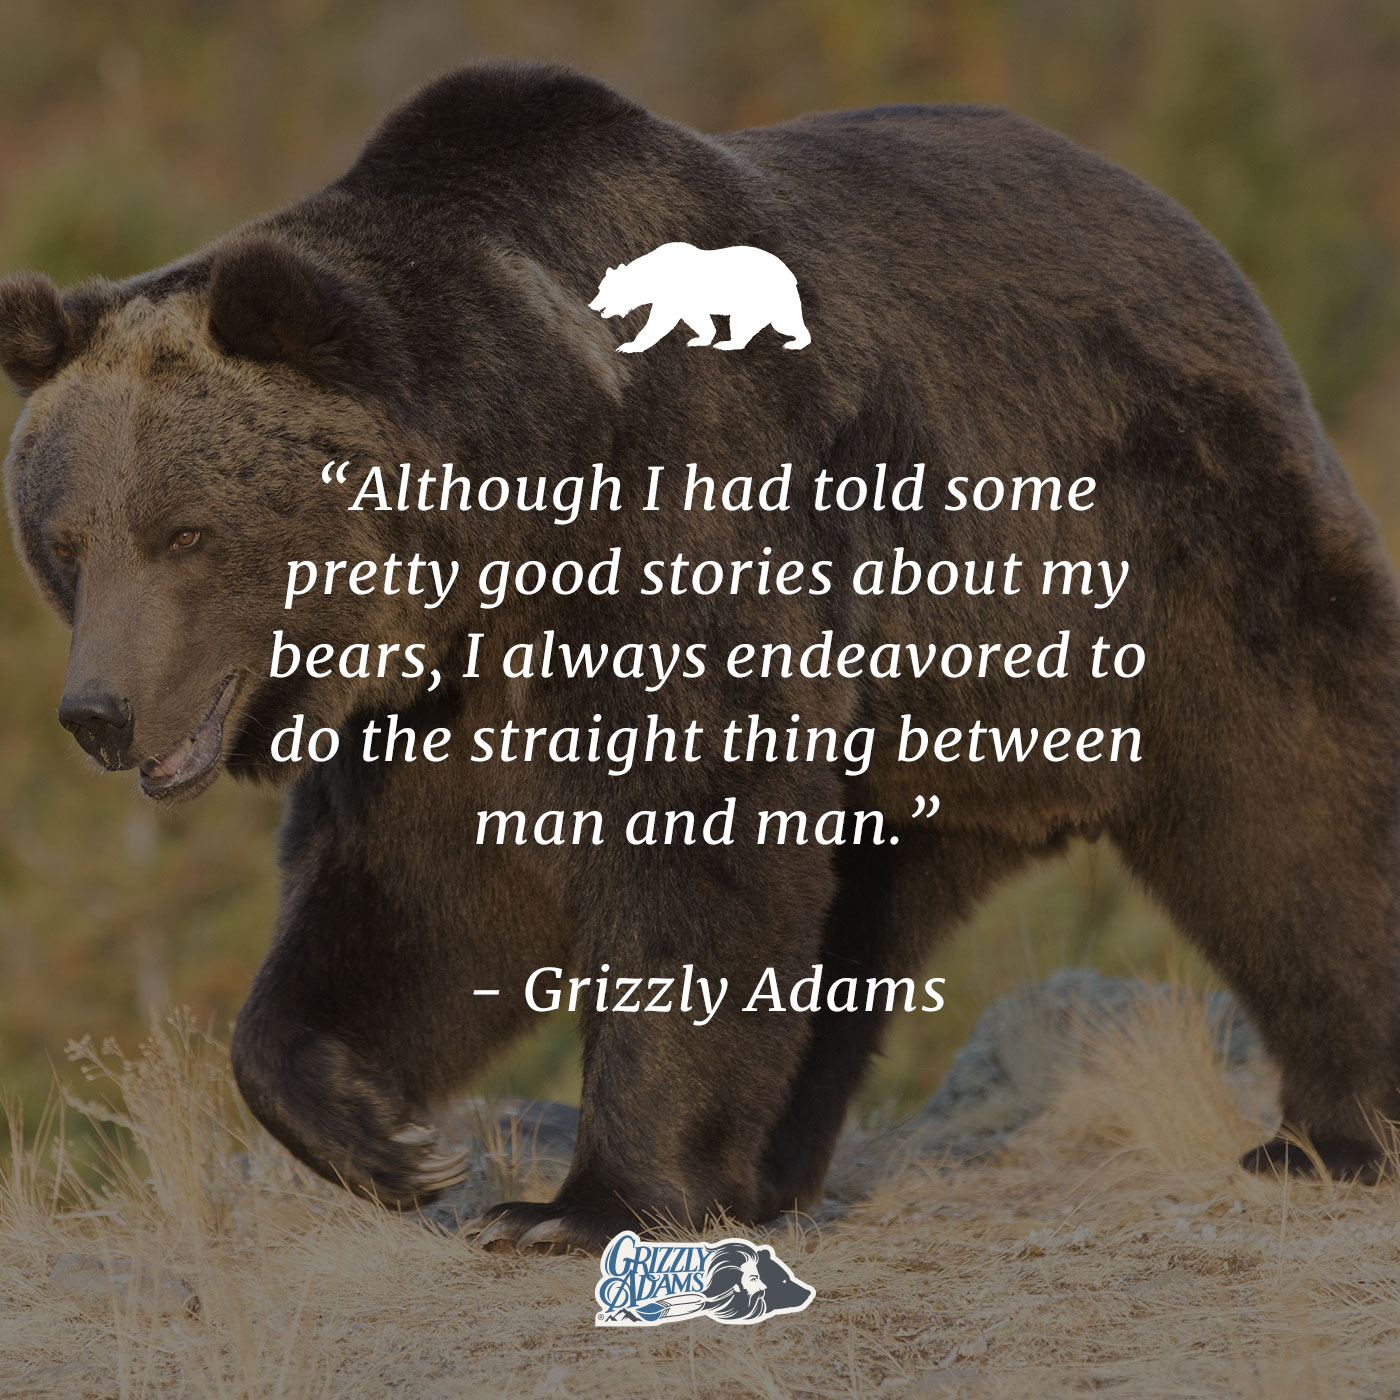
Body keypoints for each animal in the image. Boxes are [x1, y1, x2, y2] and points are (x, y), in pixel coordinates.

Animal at [588, 241, 810, 352]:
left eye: (603, 290)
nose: (592, 305)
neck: (656, 273)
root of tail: (789, 276)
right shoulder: (688, 301)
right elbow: (697, 318)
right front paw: (699, 339)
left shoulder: (673, 291)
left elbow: (660, 321)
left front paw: (628, 346)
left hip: (763, 295)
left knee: (771, 322)